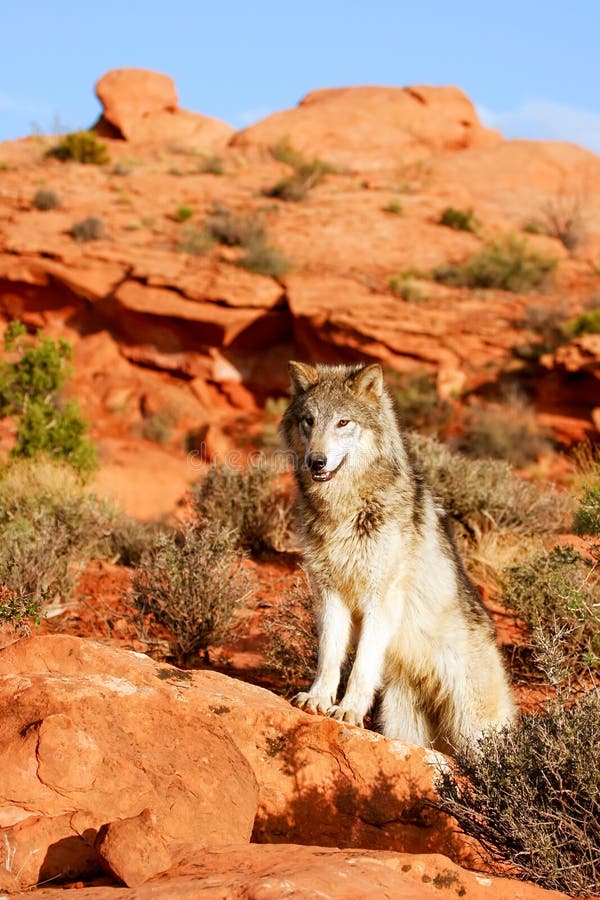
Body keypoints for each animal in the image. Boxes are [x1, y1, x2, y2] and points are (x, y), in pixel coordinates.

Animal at [280, 361, 516, 751]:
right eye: (309, 421)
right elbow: (329, 656)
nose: (317, 461)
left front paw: (347, 710)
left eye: (343, 422)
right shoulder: (329, 592)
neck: (345, 510)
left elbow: (361, 666)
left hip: (473, 728)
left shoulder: (382, 596)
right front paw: (317, 698)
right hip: (400, 721)